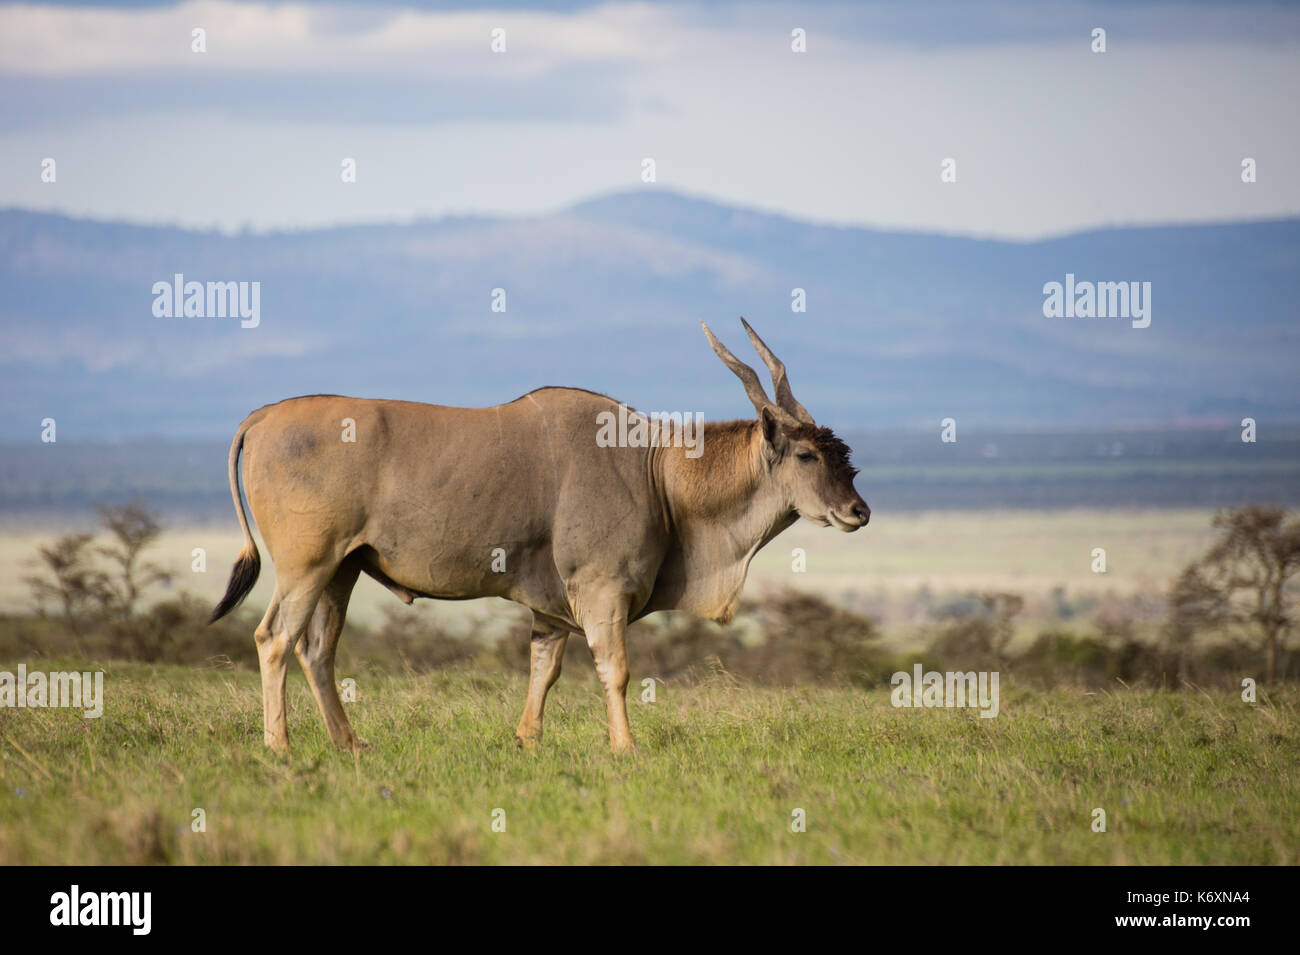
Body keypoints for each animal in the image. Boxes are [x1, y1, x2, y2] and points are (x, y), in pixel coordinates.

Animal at [209, 319, 869, 754]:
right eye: (808, 455)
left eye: (843, 454)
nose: (858, 512)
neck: (654, 467)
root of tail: (261, 418)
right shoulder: (602, 590)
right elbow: (615, 669)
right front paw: (625, 749)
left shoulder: (552, 609)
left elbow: (543, 669)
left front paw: (527, 740)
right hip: (307, 566)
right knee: (274, 639)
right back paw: (280, 748)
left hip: (340, 571)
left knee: (317, 650)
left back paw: (350, 745)